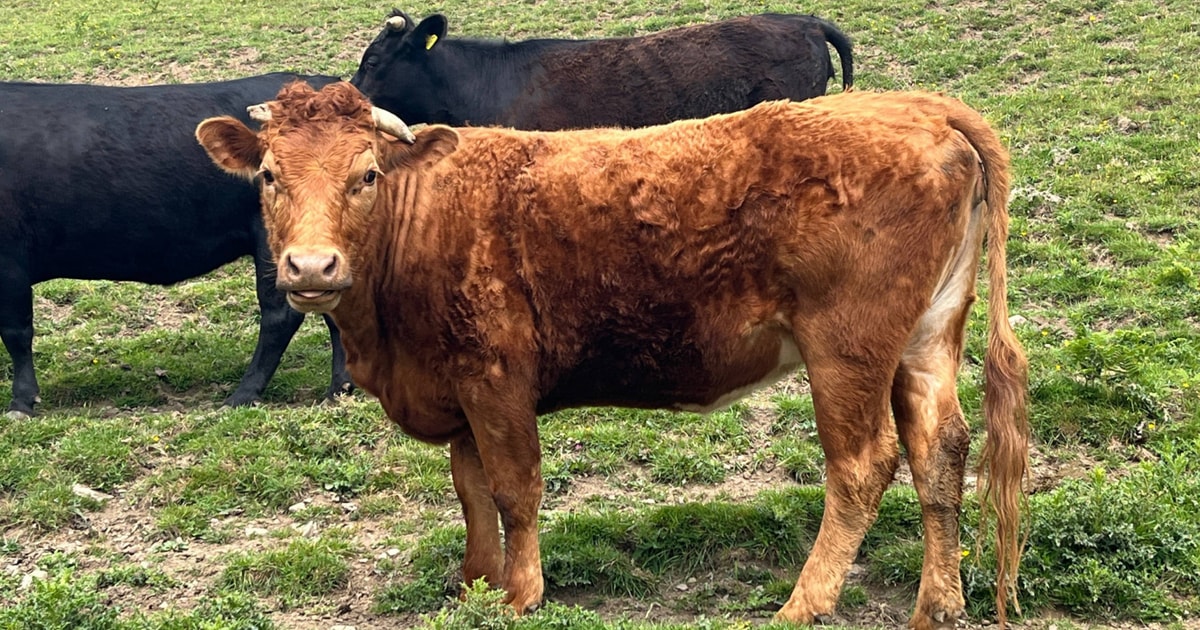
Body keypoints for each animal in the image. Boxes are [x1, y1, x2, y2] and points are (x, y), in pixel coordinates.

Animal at [0, 74, 352, 418]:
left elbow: (17, 333)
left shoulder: (11, 264)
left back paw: (243, 395)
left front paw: (21, 402)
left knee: (279, 316)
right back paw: (340, 389)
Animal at [195, 81, 1030, 629]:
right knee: (939, 449)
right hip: (926, 338)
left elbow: (515, 490)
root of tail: (918, 105)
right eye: (268, 176)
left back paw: (802, 606)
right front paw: (474, 586)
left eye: (365, 174)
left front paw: (521, 594)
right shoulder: (458, 390)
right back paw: (937, 604)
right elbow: (470, 491)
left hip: (847, 349)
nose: (310, 268)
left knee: (862, 465)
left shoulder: (496, 380)